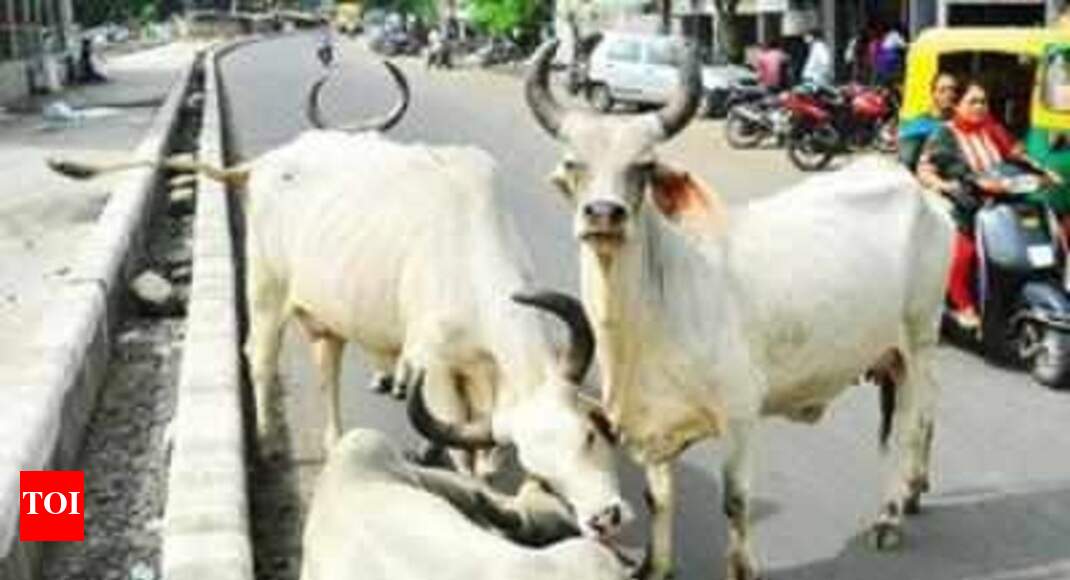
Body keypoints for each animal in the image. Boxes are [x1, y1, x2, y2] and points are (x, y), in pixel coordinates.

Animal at [48, 62, 629, 540]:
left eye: (591, 436)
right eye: (543, 468)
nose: (605, 517)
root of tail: (266, 162)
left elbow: (484, 439)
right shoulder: (437, 370)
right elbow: (461, 447)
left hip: (324, 316)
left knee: (327, 368)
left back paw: (334, 441)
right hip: (266, 287)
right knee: (258, 357)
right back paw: (266, 441)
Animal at [523, 40, 955, 580]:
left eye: (643, 167)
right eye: (573, 164)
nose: (604, 214)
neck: (651, 316)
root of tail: (922, 194)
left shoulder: (741, 412)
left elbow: (734, 500)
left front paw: (742, 568)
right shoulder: (651, 428)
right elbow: (657, 499)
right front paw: (655, 566)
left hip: (920, 338)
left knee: (911, 424)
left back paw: (891, 515)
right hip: (896, 355)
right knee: (925, 417)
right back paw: (914, 490)